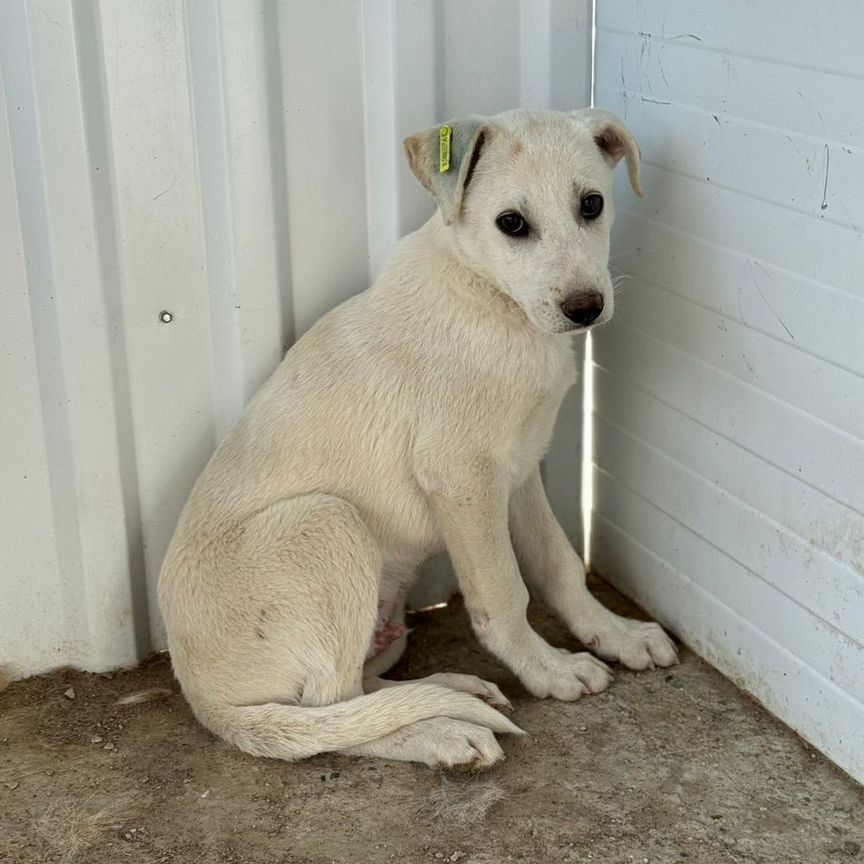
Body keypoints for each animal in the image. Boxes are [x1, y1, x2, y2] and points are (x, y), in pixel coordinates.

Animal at [159, 108, 680, 768]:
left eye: (592, 204)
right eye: (511, 223)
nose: (586, 308)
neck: (492, 299)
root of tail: (200, 696)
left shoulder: (519, 472)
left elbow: (560, 563)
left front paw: (615, 633)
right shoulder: (463, 478)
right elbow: (504, 592)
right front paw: (550, 670)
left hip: (377, 623)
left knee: (353, 696)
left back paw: (451, 690)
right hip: (326, 522)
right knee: (331, 711)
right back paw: (441, 730)